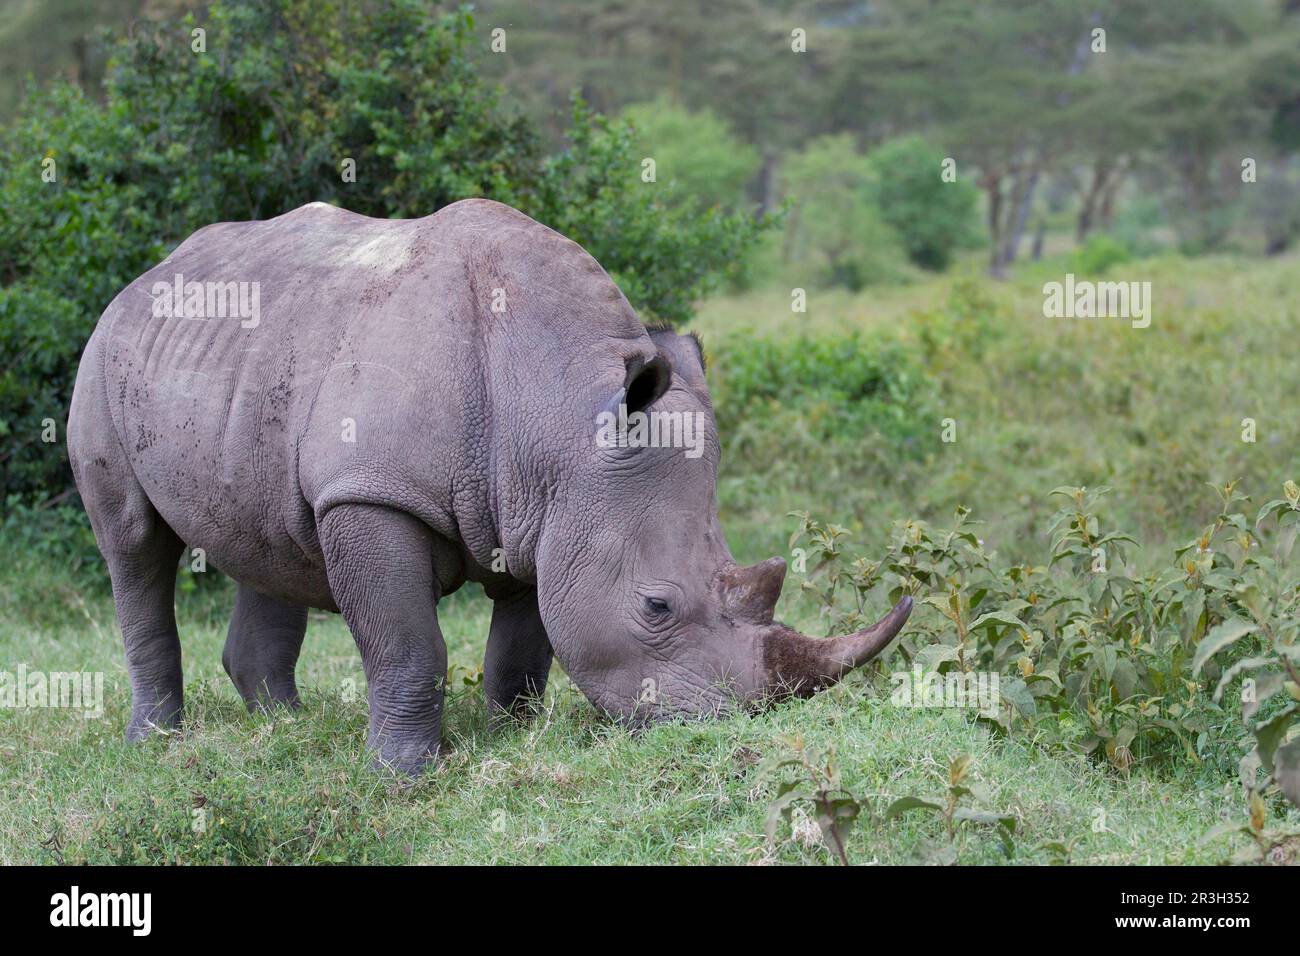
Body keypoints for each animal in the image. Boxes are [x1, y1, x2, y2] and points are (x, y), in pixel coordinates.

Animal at [68, 199, 911, 773]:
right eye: (657, 607)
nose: (723, 728)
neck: (559, 409)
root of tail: (146, 276)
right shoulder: (373, 490)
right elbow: (409, 646)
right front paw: (404, 776)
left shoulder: (544, 516)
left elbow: (522, 654)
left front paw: (513, 739)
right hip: (102, 355)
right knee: (134, 544)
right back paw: (157, 743)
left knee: (267, 537)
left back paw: (287, 730)